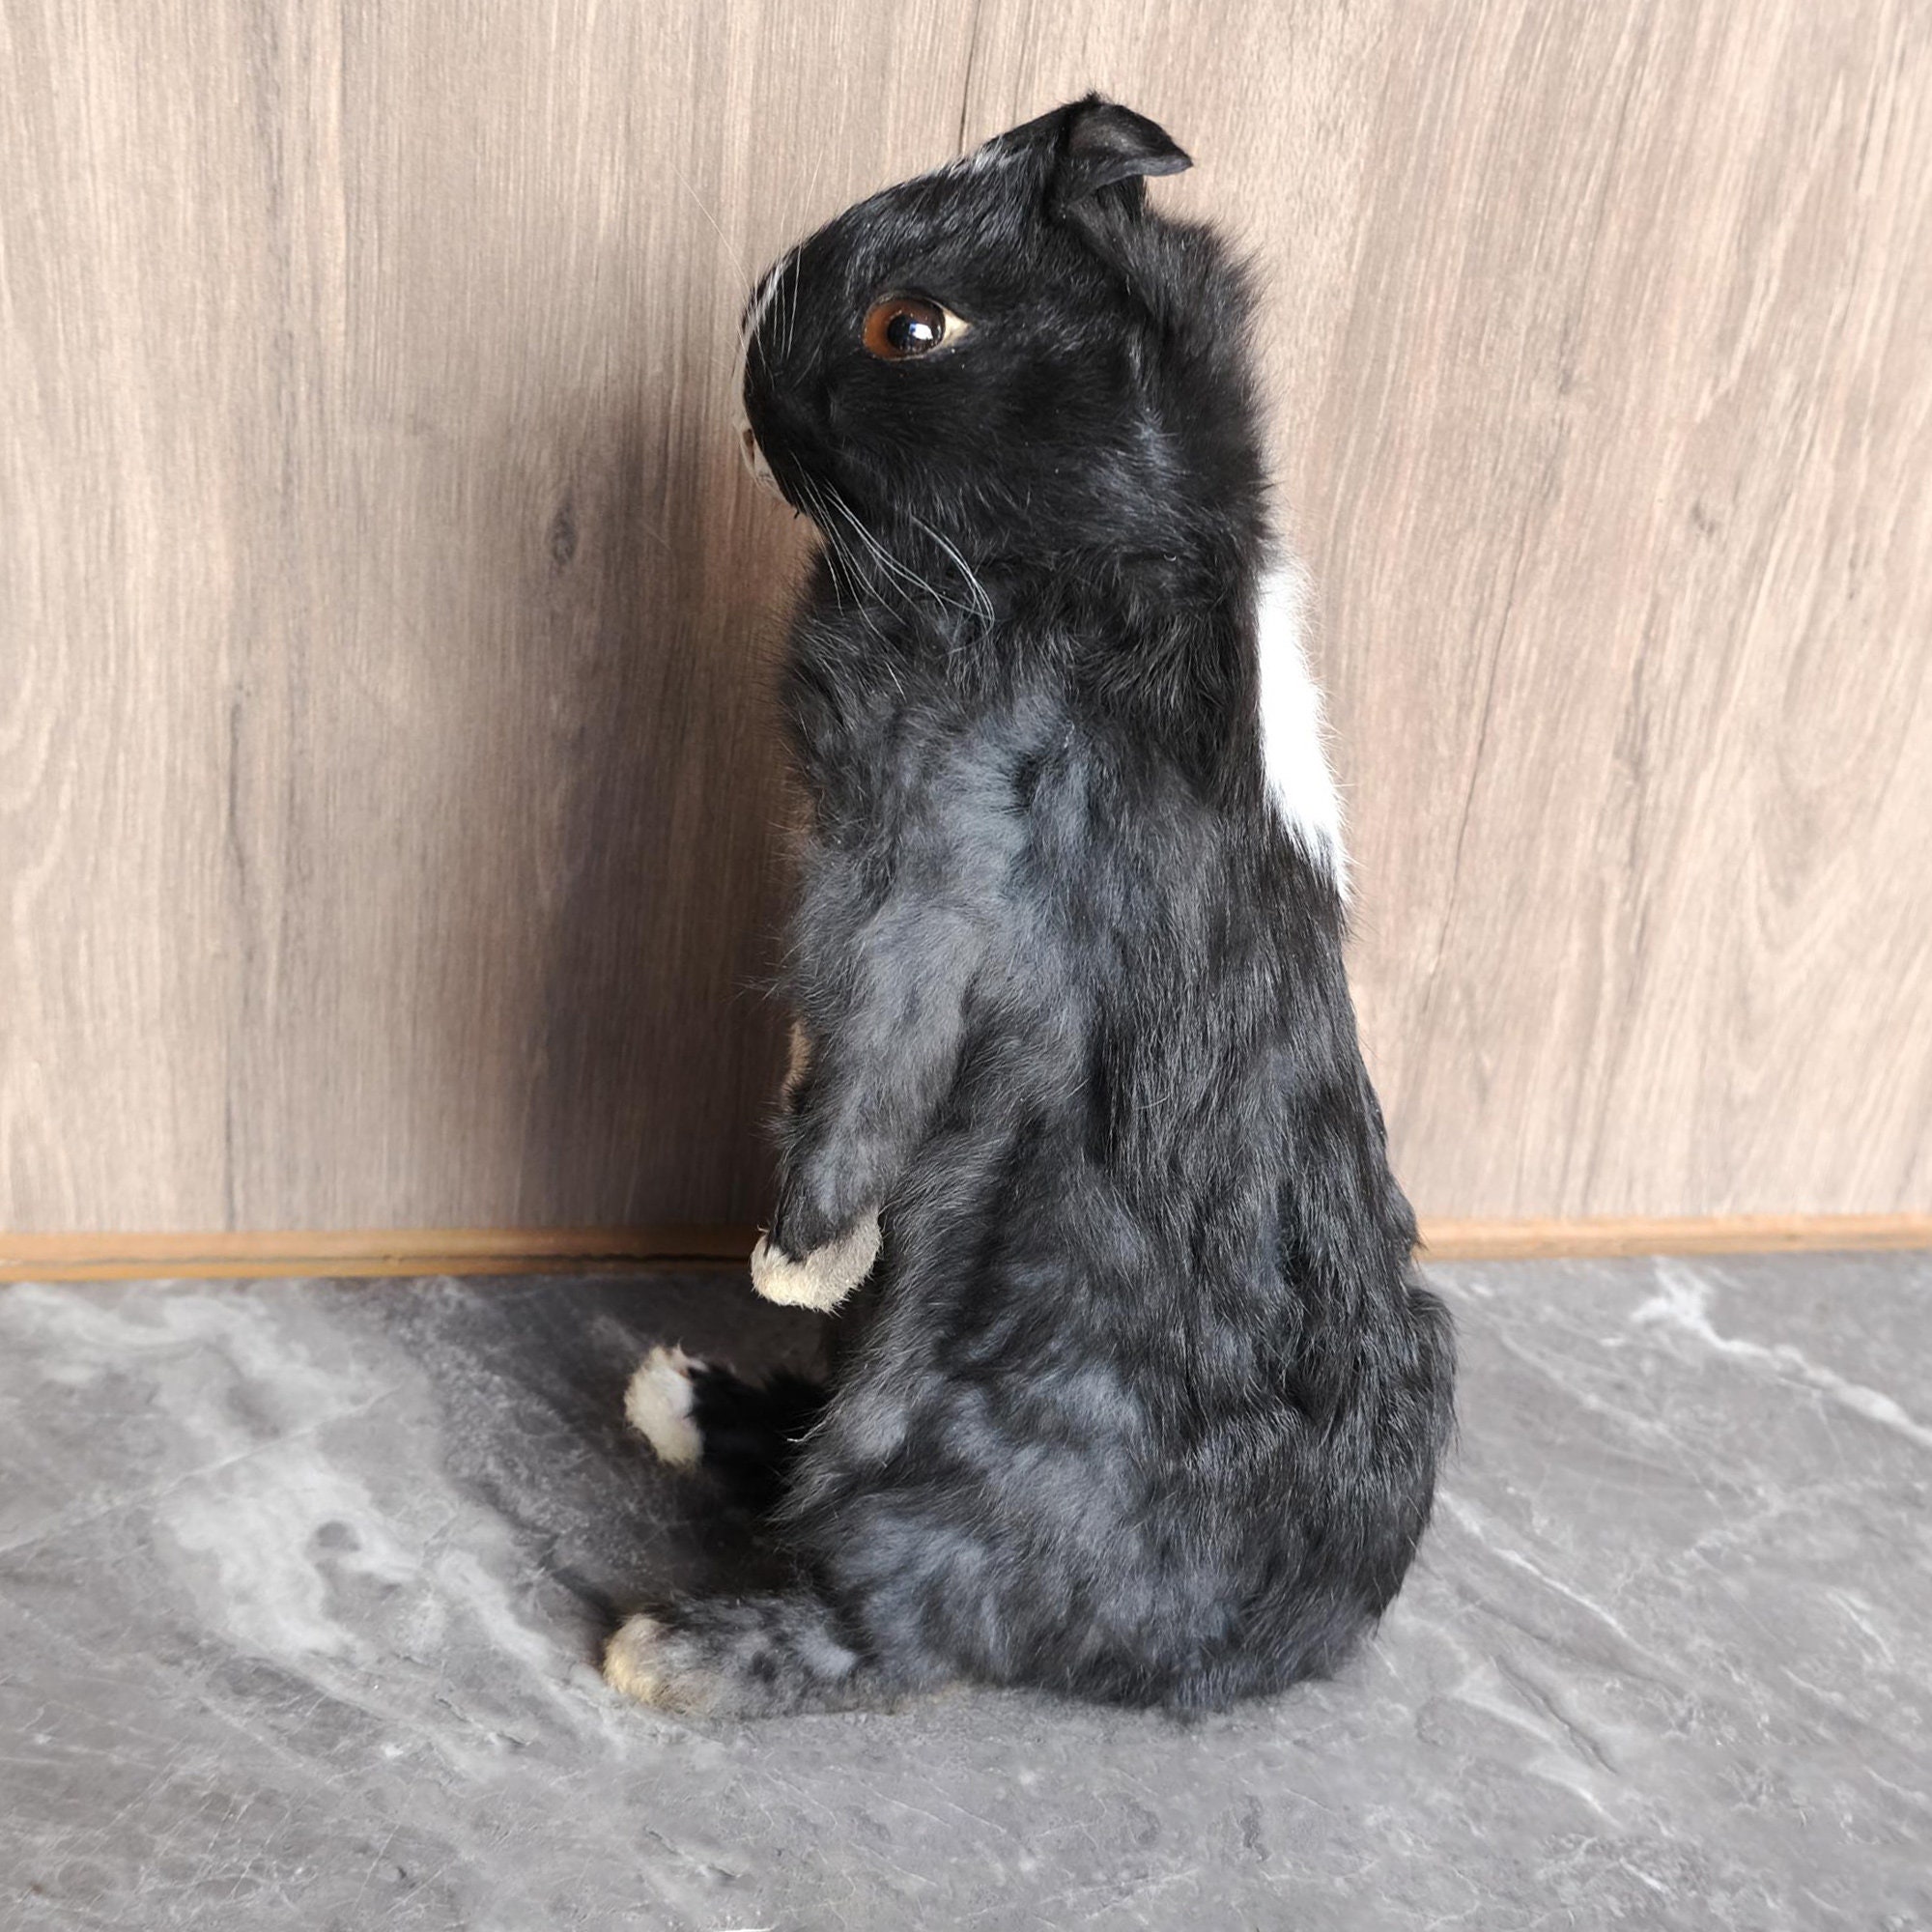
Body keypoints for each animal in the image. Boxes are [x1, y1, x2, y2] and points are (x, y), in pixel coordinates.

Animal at [604, 95, 1455, 1717]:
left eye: (909, 325)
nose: (748, 330)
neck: (1097, 557)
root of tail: (1261, 1642)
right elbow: (820, 1068)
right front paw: (795, 1262)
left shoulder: (911, 885)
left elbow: (859, 1079)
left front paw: (793, 1259)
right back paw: (682, 1401)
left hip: (954, 1469)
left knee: (888, 1625)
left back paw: (669, 1643)